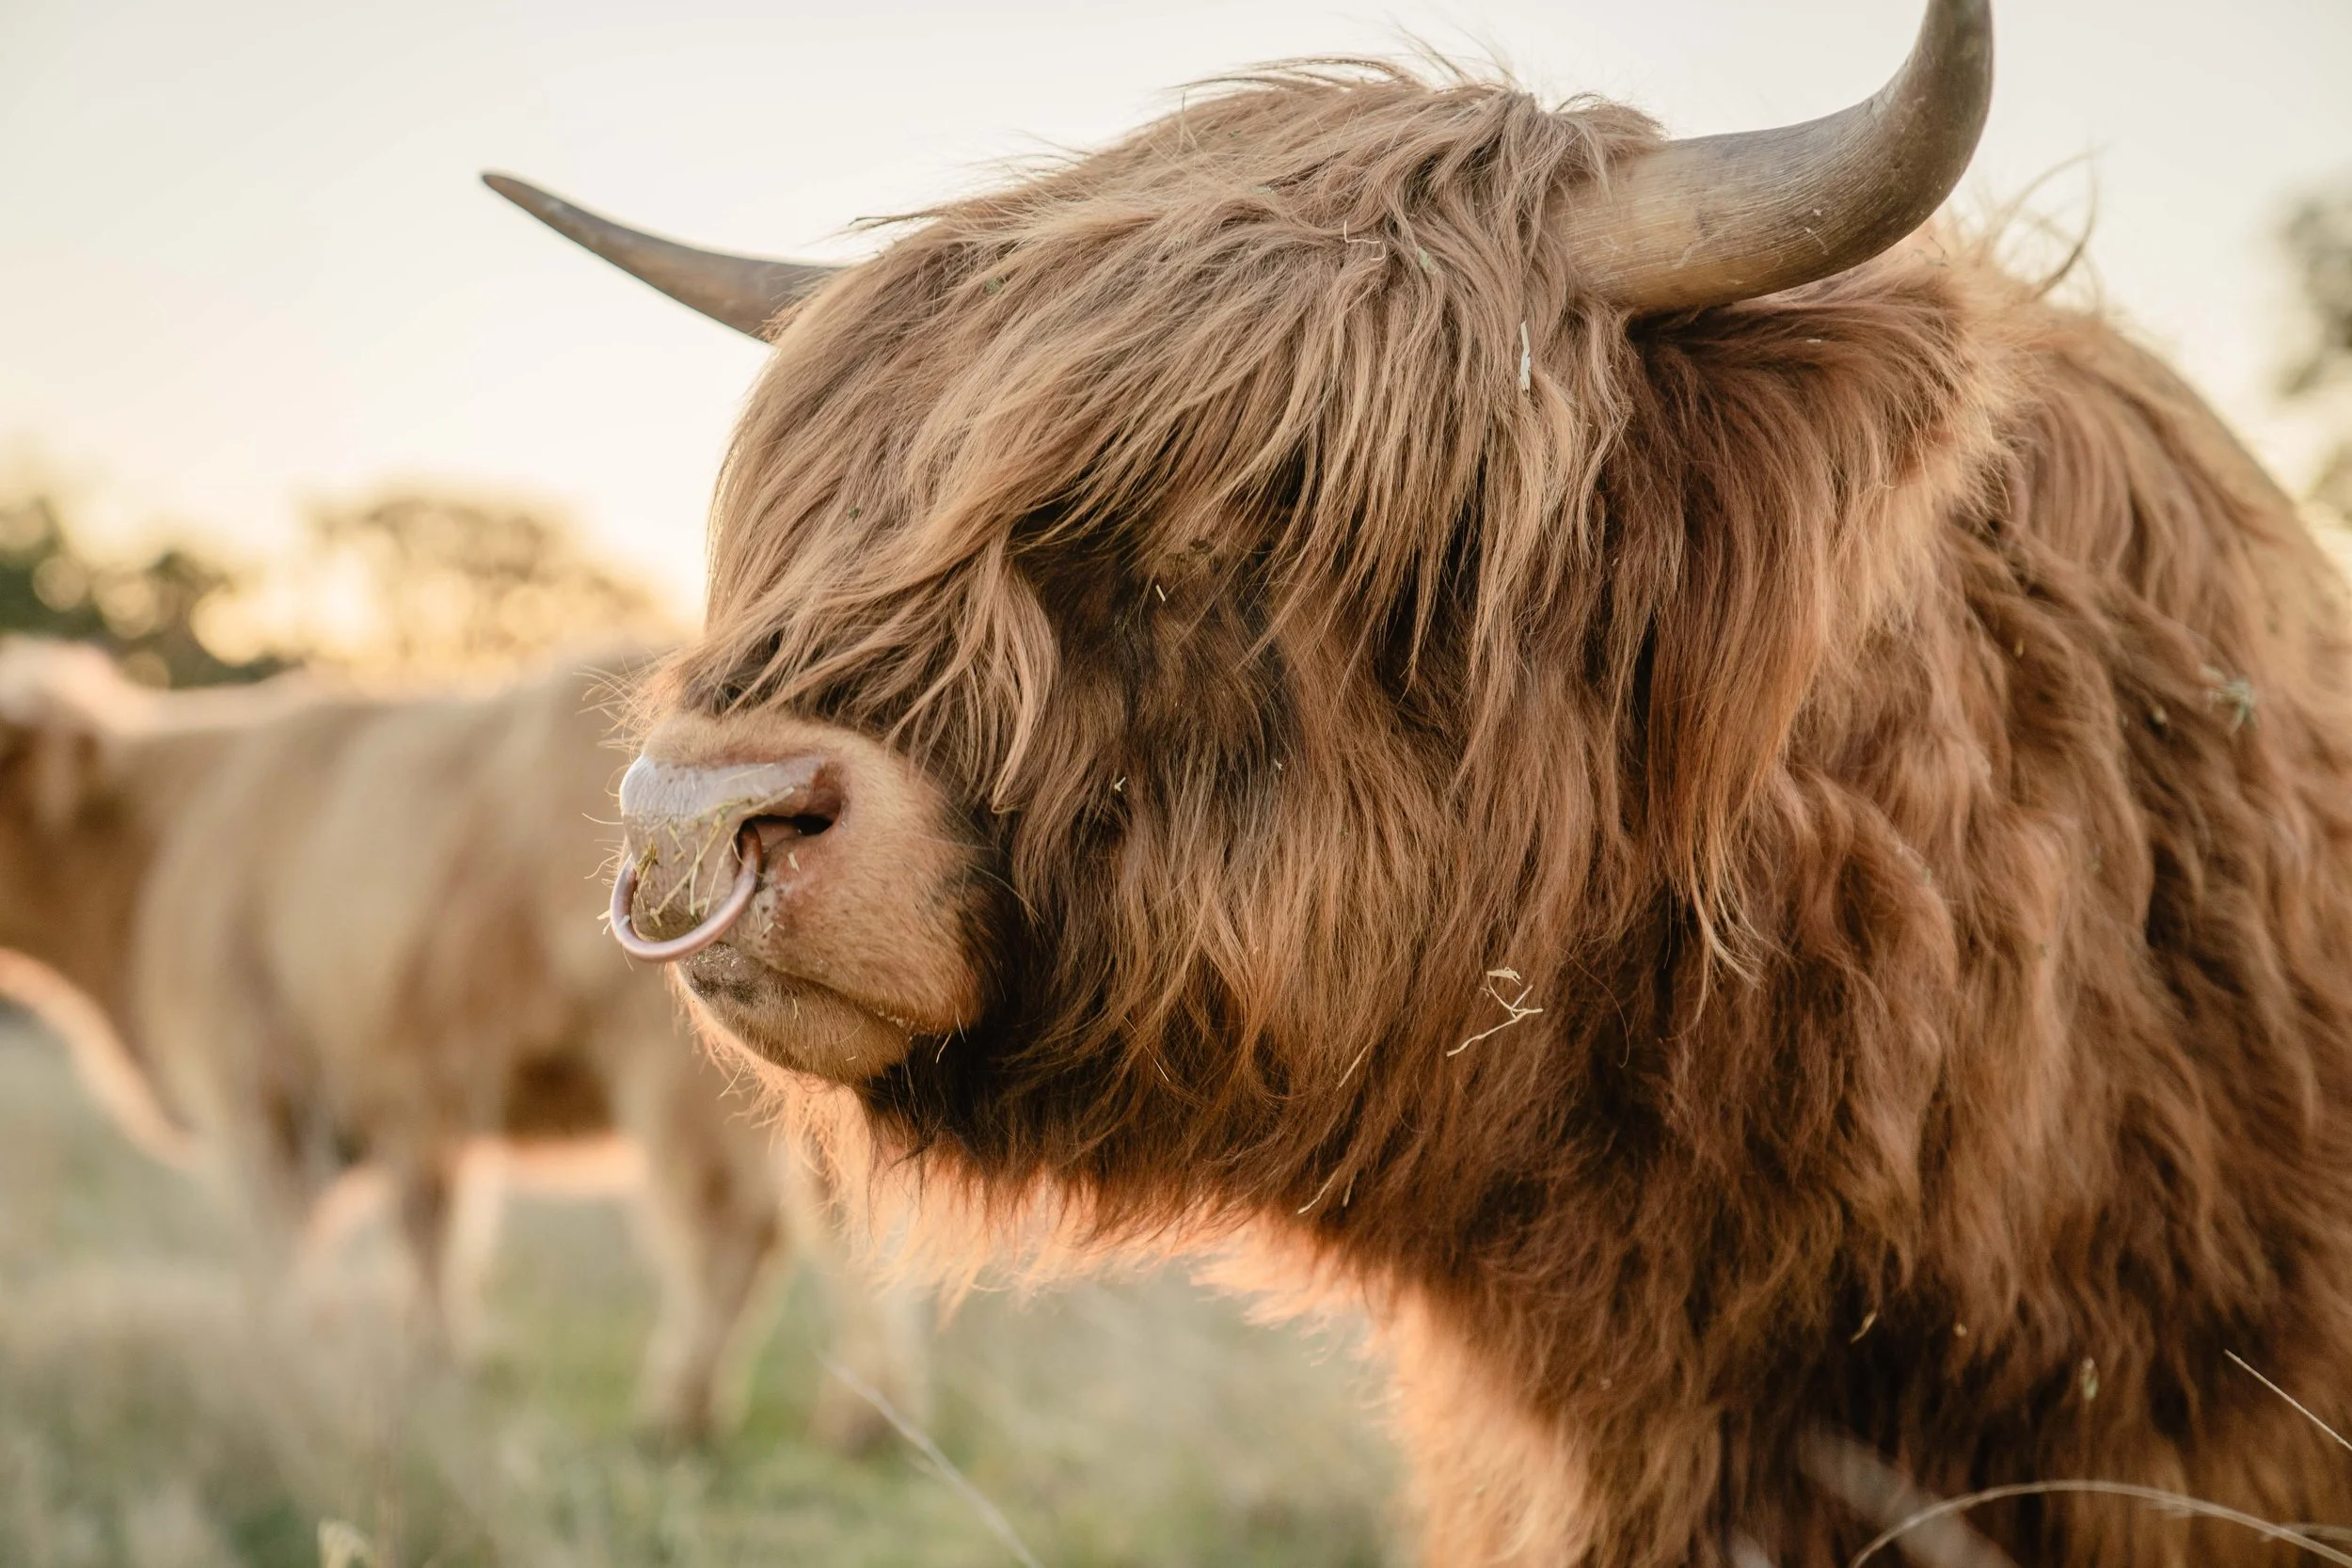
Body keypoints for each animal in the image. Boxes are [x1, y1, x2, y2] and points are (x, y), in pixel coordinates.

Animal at [0, 640, 925, 1447]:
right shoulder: (413, 1109)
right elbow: (430, 1237)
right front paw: (439, 1362)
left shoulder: (253, 1097)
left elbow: (282, 1253)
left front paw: (284, 1366)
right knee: (845, 1233)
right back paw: (861, 1420)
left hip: (680, 1077)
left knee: (733, 1229)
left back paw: (678, 1411)